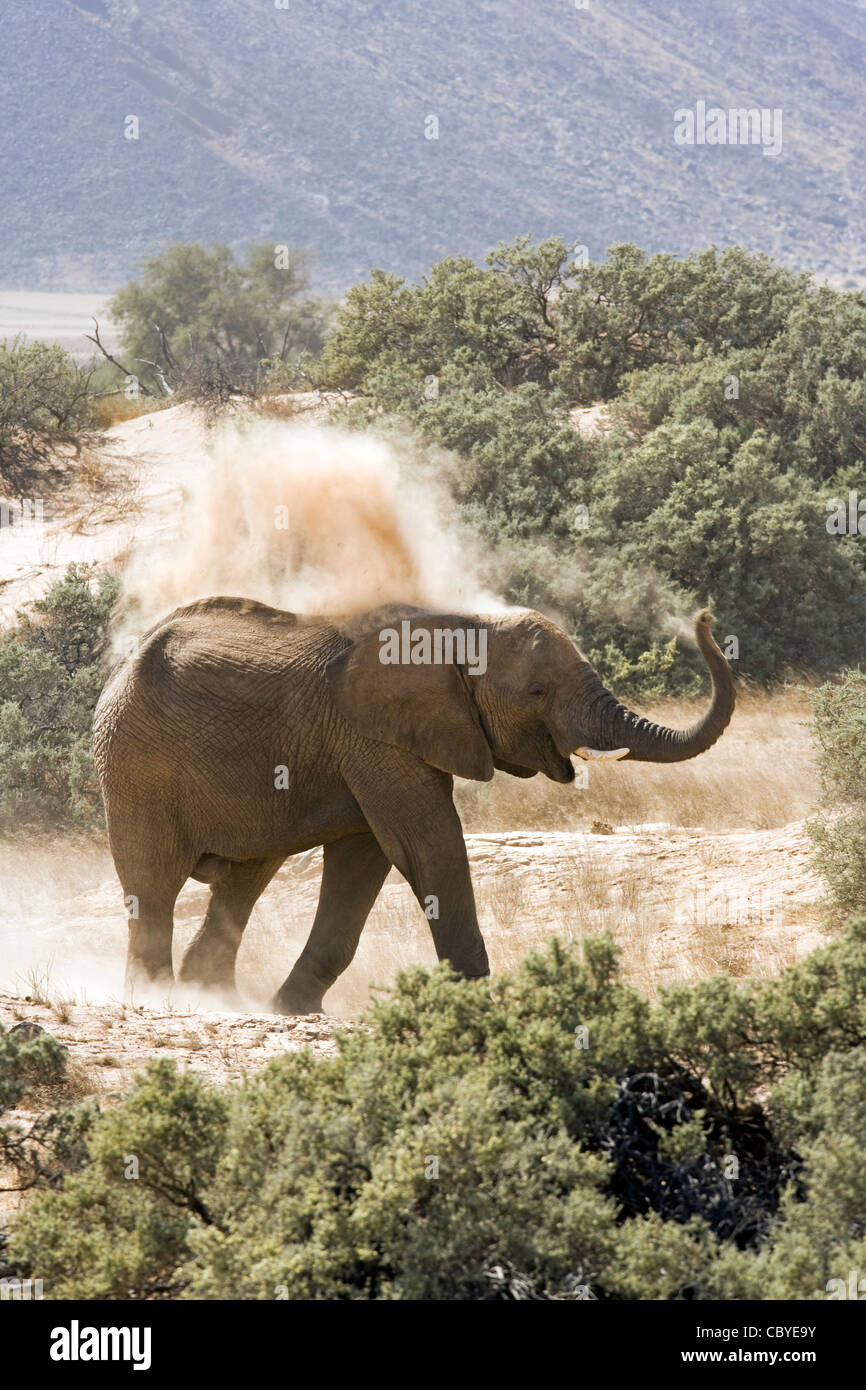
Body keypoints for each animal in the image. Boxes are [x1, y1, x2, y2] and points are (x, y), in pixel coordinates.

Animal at [93, 596, 735, 1013]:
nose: (706, 618)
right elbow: (428, 846)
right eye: (537, 691)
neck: (458, 623)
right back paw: (161, 998)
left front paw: (291, 1011)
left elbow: (365, 859)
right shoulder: (374, 738)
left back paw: (213, 997)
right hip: (135, 763)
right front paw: (480, 1011)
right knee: (153, 883)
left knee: (243, 880)